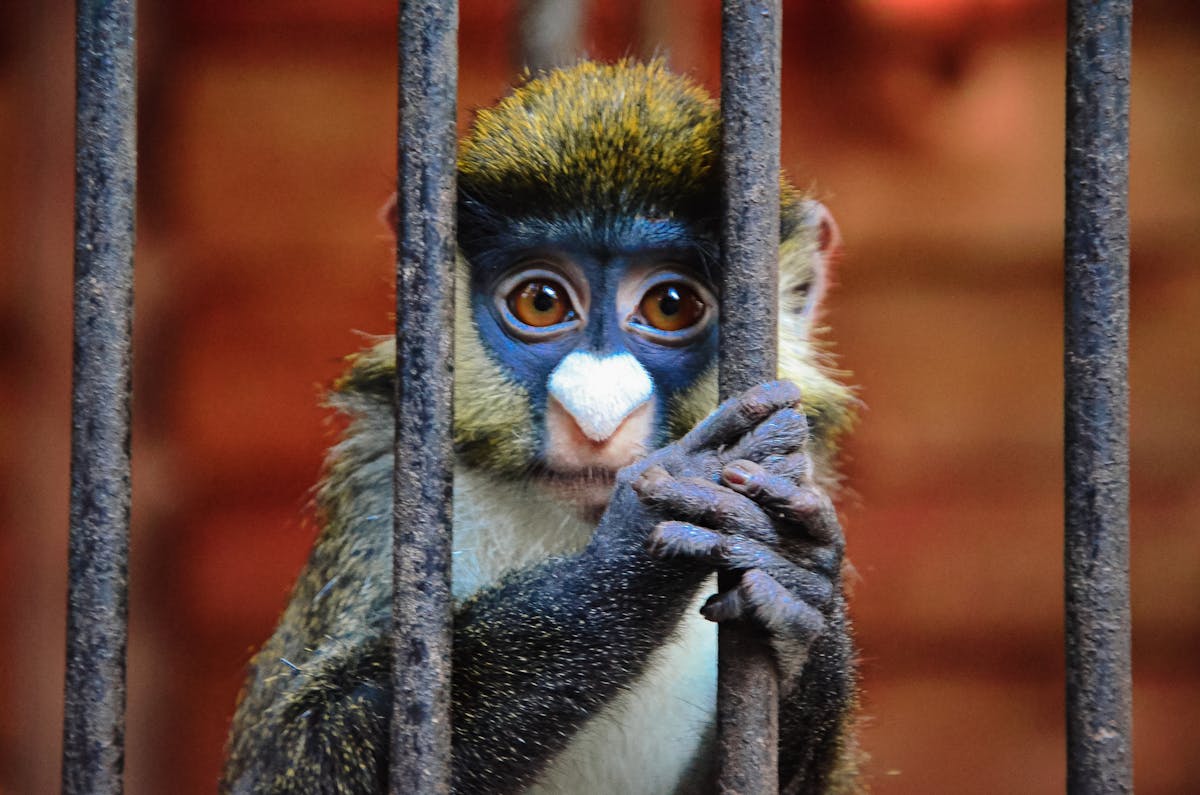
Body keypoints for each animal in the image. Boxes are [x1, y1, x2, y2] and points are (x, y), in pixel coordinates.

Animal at [222, 60, 860, 795]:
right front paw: (635, 549)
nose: (597, 417)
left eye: (670, 305)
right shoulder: (377, 492)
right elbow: (288, 753)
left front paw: (801, 583)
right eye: (542, 301)